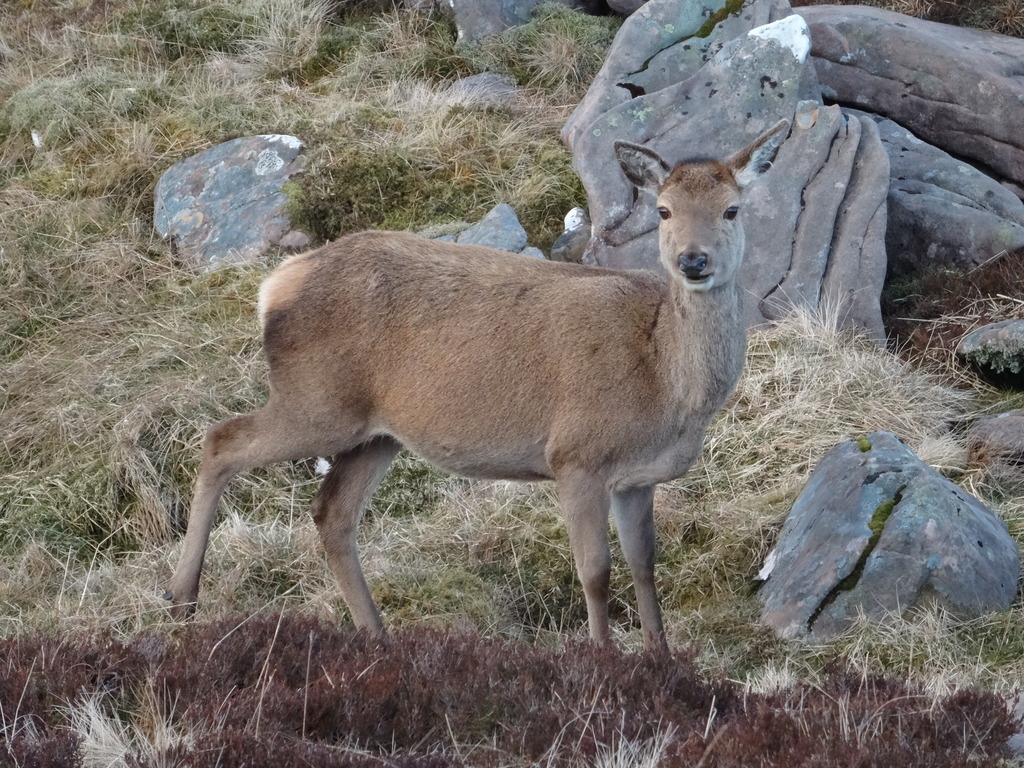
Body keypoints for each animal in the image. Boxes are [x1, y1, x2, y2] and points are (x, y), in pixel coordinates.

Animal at [165, 120, 790, 650]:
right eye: (662, 210)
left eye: (732, 209)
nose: (693, 260)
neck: (665, 381)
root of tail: (273, 285)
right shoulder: (576, 455)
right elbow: (595, 572)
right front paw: (604, 659)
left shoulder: (637, 479)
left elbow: (644, 567)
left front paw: (662, 661)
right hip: (317, 401)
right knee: (221, 441)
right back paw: (182, 599)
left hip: (377, 432)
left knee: (332, 513)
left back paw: (378, 637)